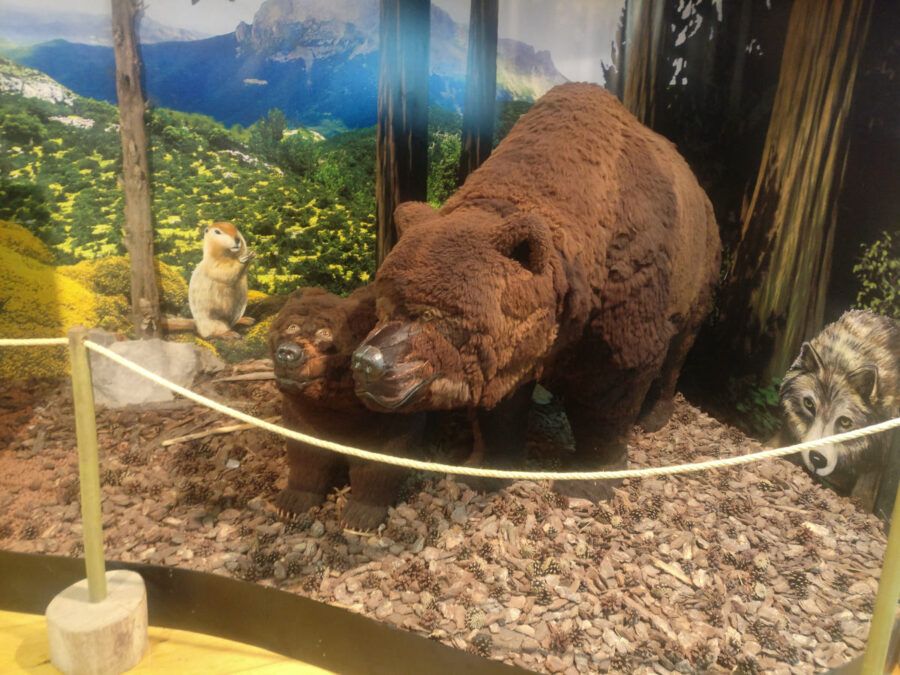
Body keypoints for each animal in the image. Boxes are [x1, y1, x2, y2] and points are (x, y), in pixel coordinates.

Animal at [269, 285, 424, 530]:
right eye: (291, 326)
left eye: (325, 332)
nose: (288, 352)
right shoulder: (303, 413)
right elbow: (306, 454)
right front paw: (290, 503)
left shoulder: (386, 417)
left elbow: (378, 461)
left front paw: (359, 517)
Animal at [352, 82, 721, 502]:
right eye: (387, 304)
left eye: (435, 314)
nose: (367, 362)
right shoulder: (512, 344)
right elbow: (500, 403)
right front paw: (485, 469)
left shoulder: (624, 296)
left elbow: (610, 389)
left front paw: (592, 479)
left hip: (699, 267)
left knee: (681, 345)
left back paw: (655, 415)